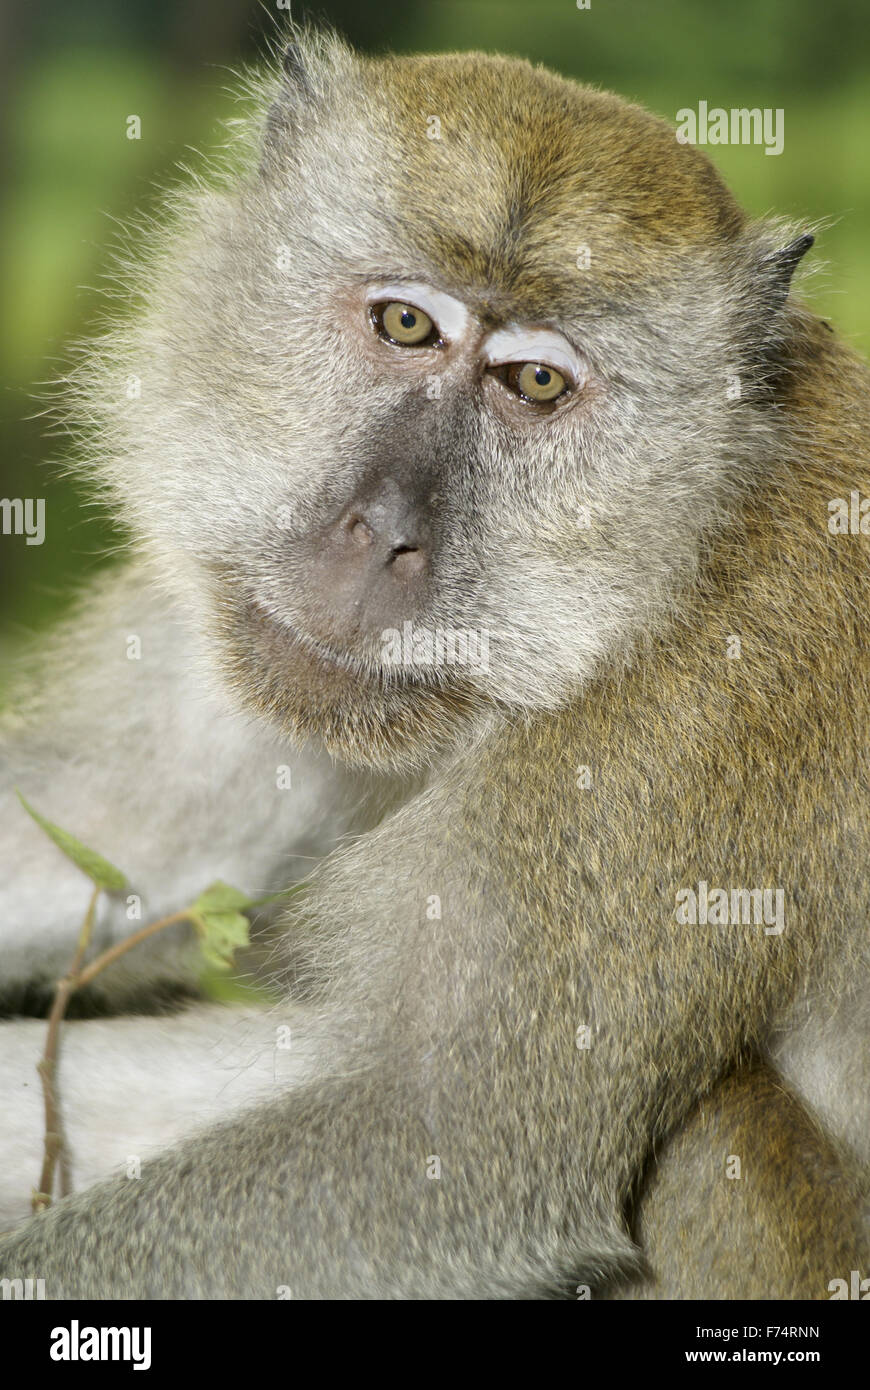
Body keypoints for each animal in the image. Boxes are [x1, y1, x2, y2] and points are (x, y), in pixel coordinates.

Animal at [0, 26, 867, 1298]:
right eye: (407, 326)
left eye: (537, 383)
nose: (382, 534)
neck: (674, 548)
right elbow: (117, 836)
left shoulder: (698, 712)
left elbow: (437, 1144)